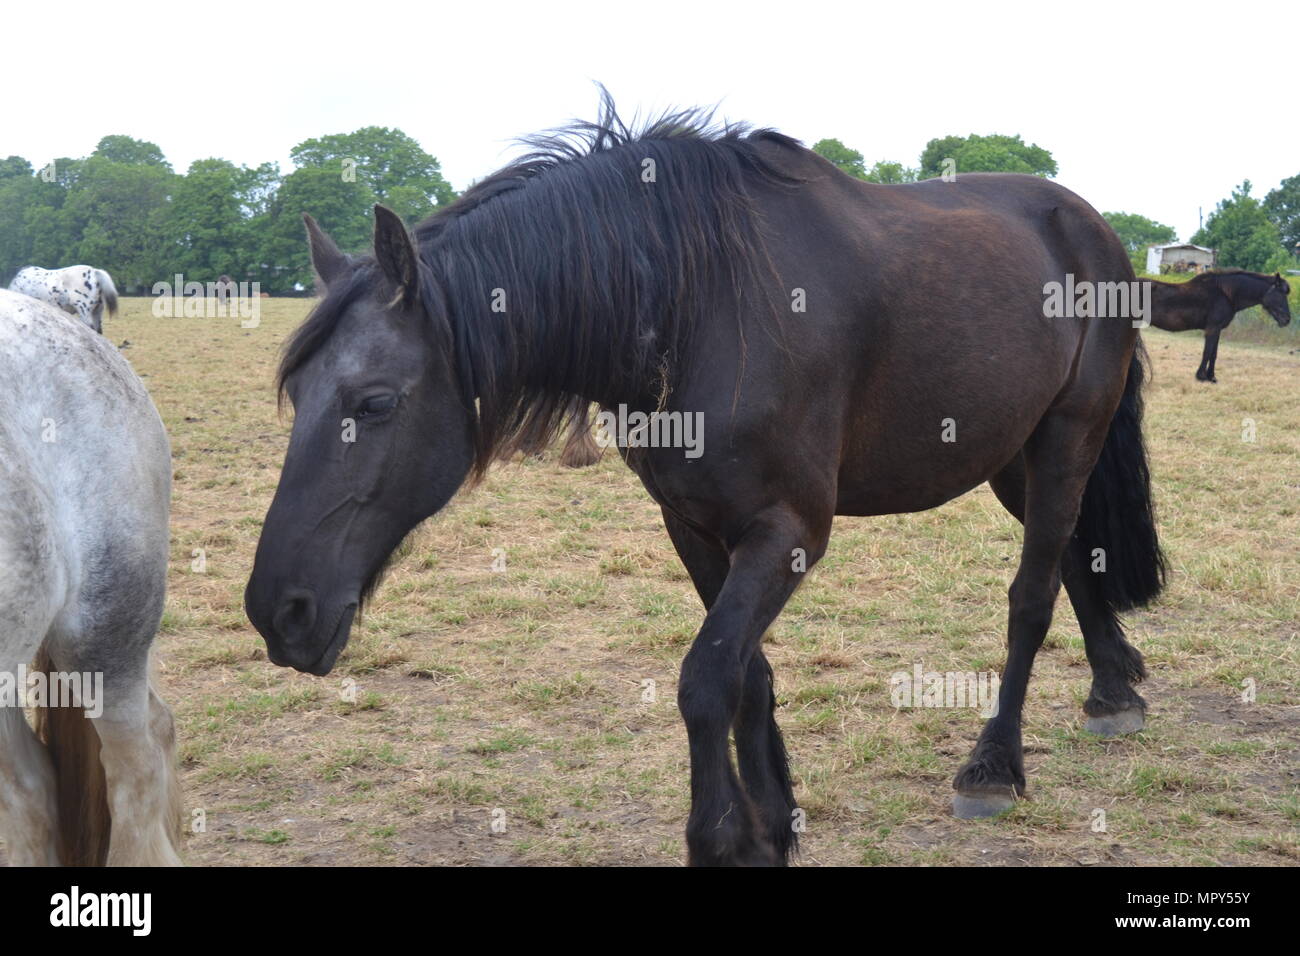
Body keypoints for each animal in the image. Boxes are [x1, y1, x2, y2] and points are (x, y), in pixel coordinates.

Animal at [244, 96, 1166, 866]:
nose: (280, 612)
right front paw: (772, 823)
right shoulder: (692, 524)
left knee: (1031, 594)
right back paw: (1112, 688)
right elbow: (745, 678)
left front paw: (724, 838)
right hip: (1011, 455)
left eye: (374, 402)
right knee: (1072, 556)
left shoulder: (788, 531)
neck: (700, 300)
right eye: (297, 394)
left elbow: (705, 680)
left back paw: (994, 766)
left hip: (1067, 436)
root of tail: (1091, 226)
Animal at [1147, 270, 1292, 381]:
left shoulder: (1218, 330)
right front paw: (1201, 376)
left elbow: (1214, 353)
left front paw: (1211, 377)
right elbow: (1207, 352)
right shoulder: (1212, 328)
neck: (1225, 294)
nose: (1287, 319)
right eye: (1281, 293)